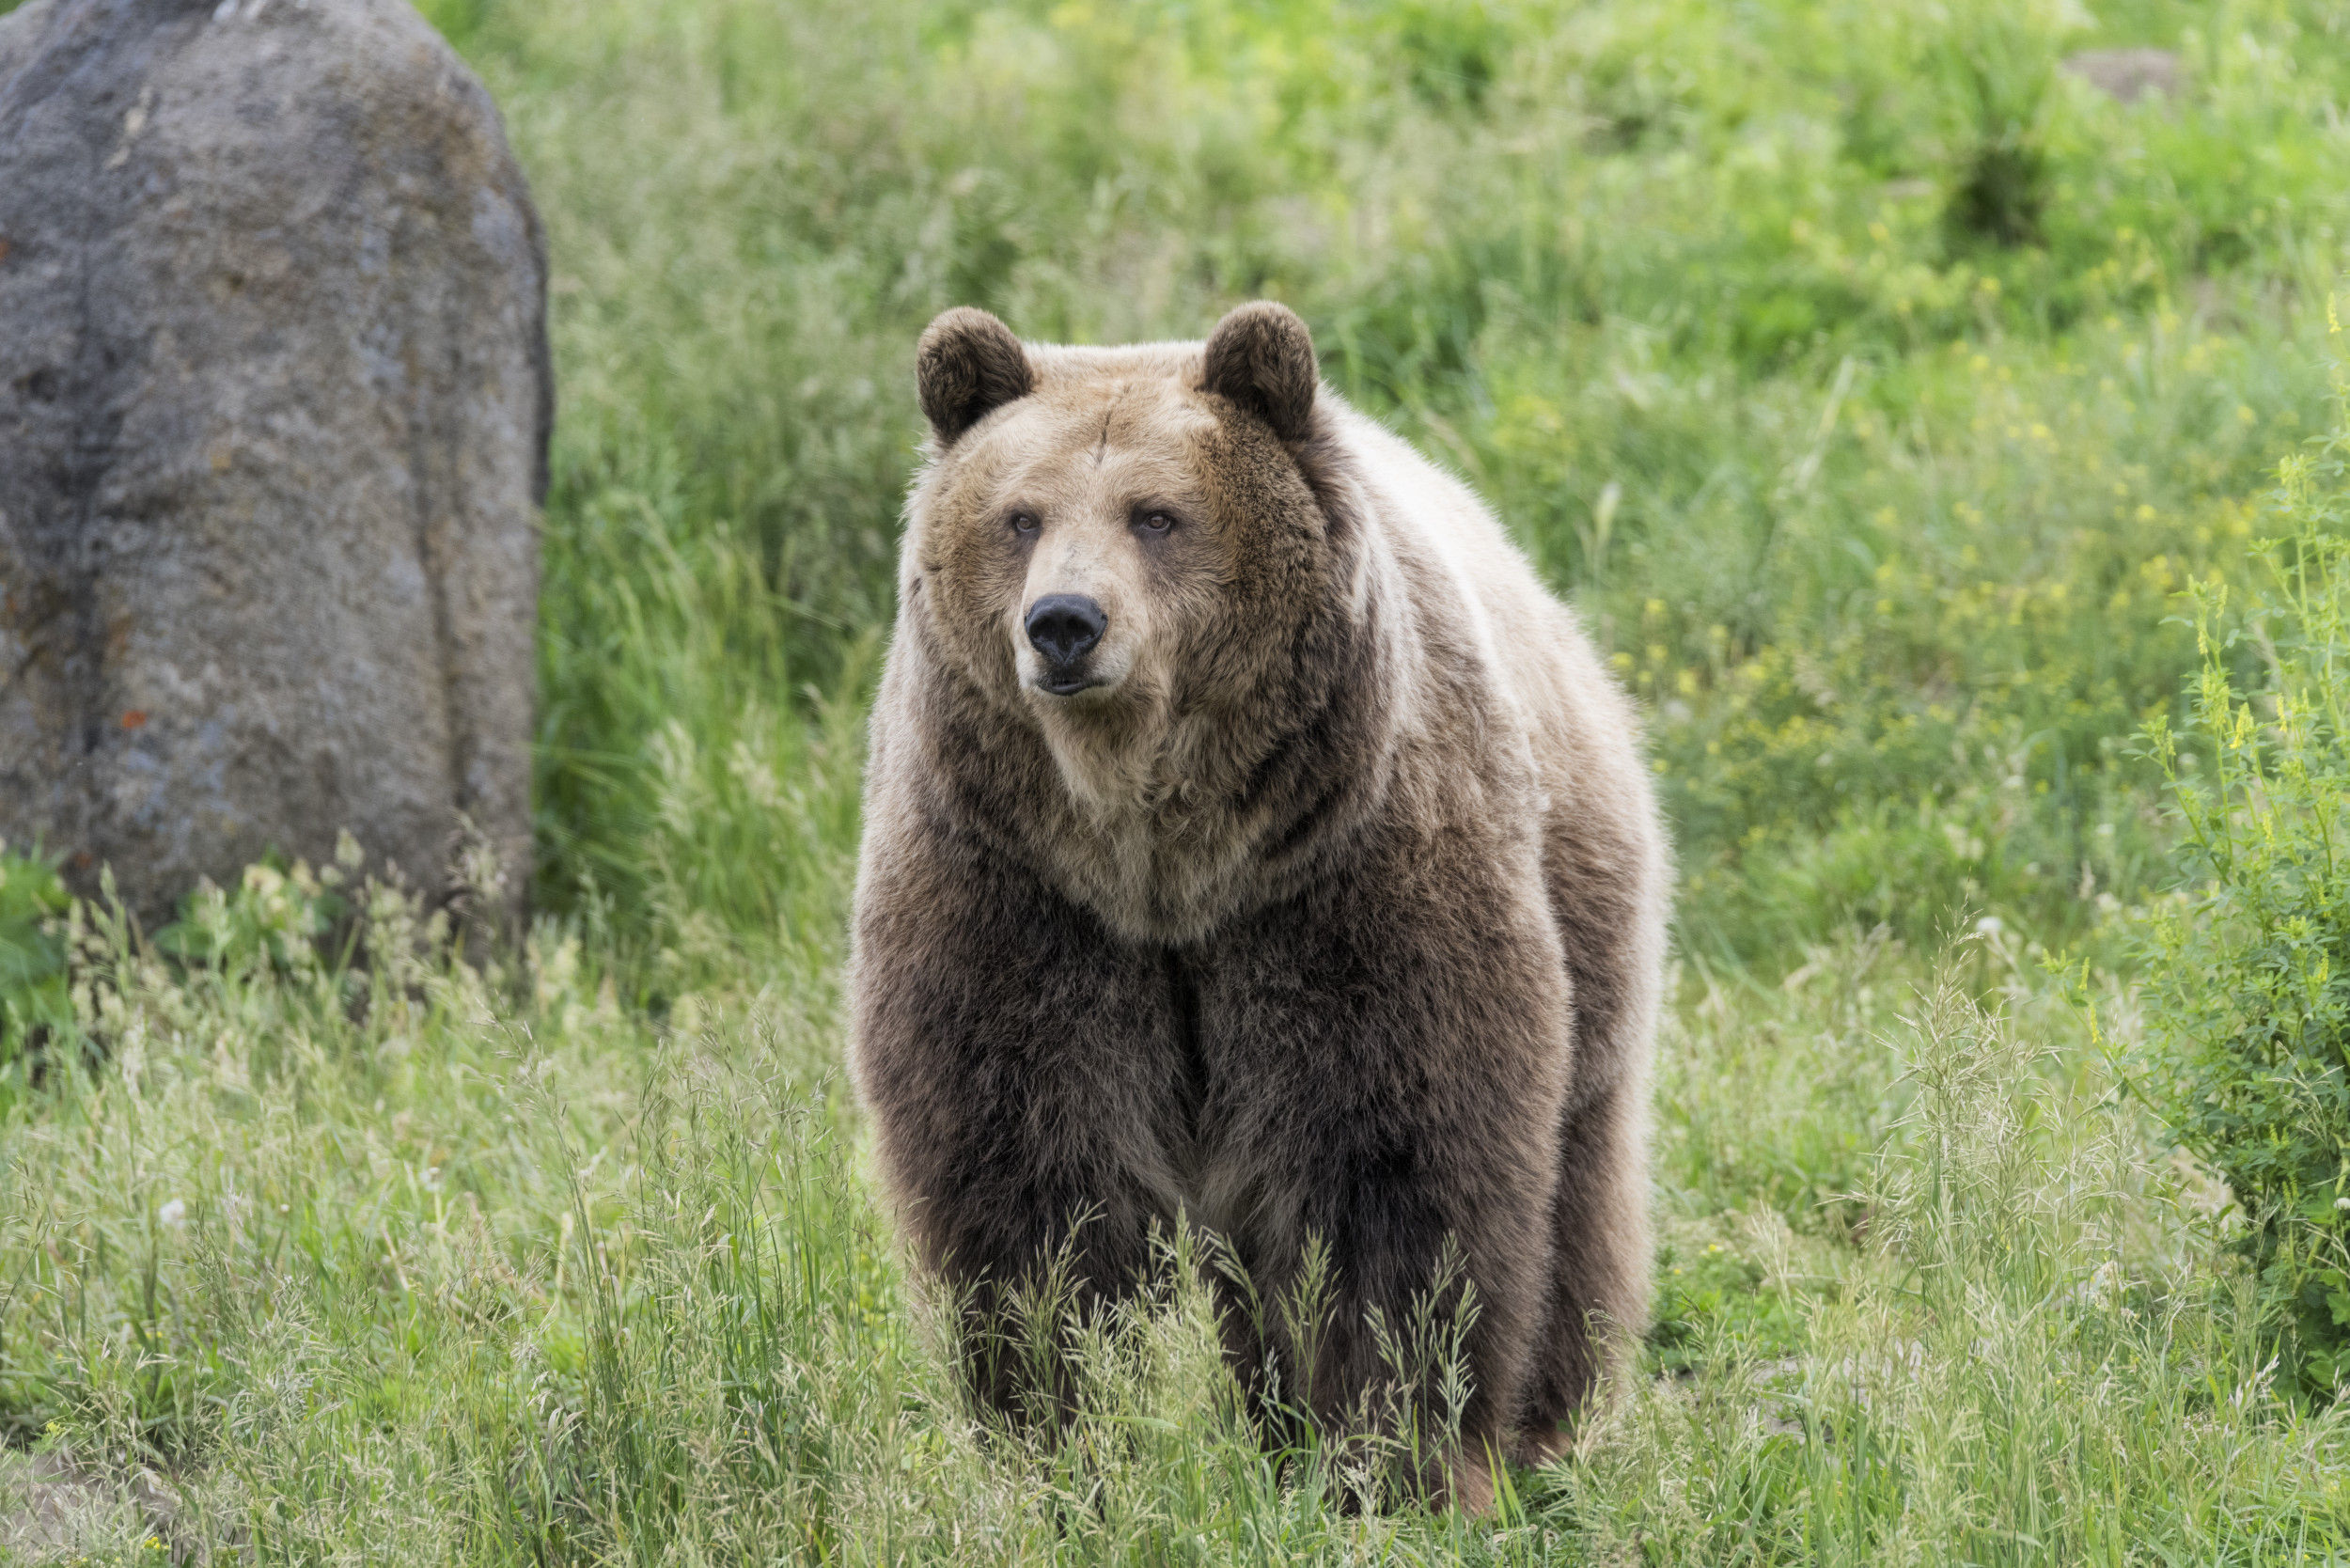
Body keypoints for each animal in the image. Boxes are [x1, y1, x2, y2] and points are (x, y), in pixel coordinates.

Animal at [847, 301, 1669, 1504]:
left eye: (1156, 513)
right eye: (1019, 515)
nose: (1063, 624)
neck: (1167, 864)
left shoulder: (1342, 884)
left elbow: (1392, 1176)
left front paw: (1397, 1457)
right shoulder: (1019, 897)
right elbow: (1029, 1185)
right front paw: (1064, 1444)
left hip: (1589, 917)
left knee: (1574, 1199)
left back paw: (1539, 1430)